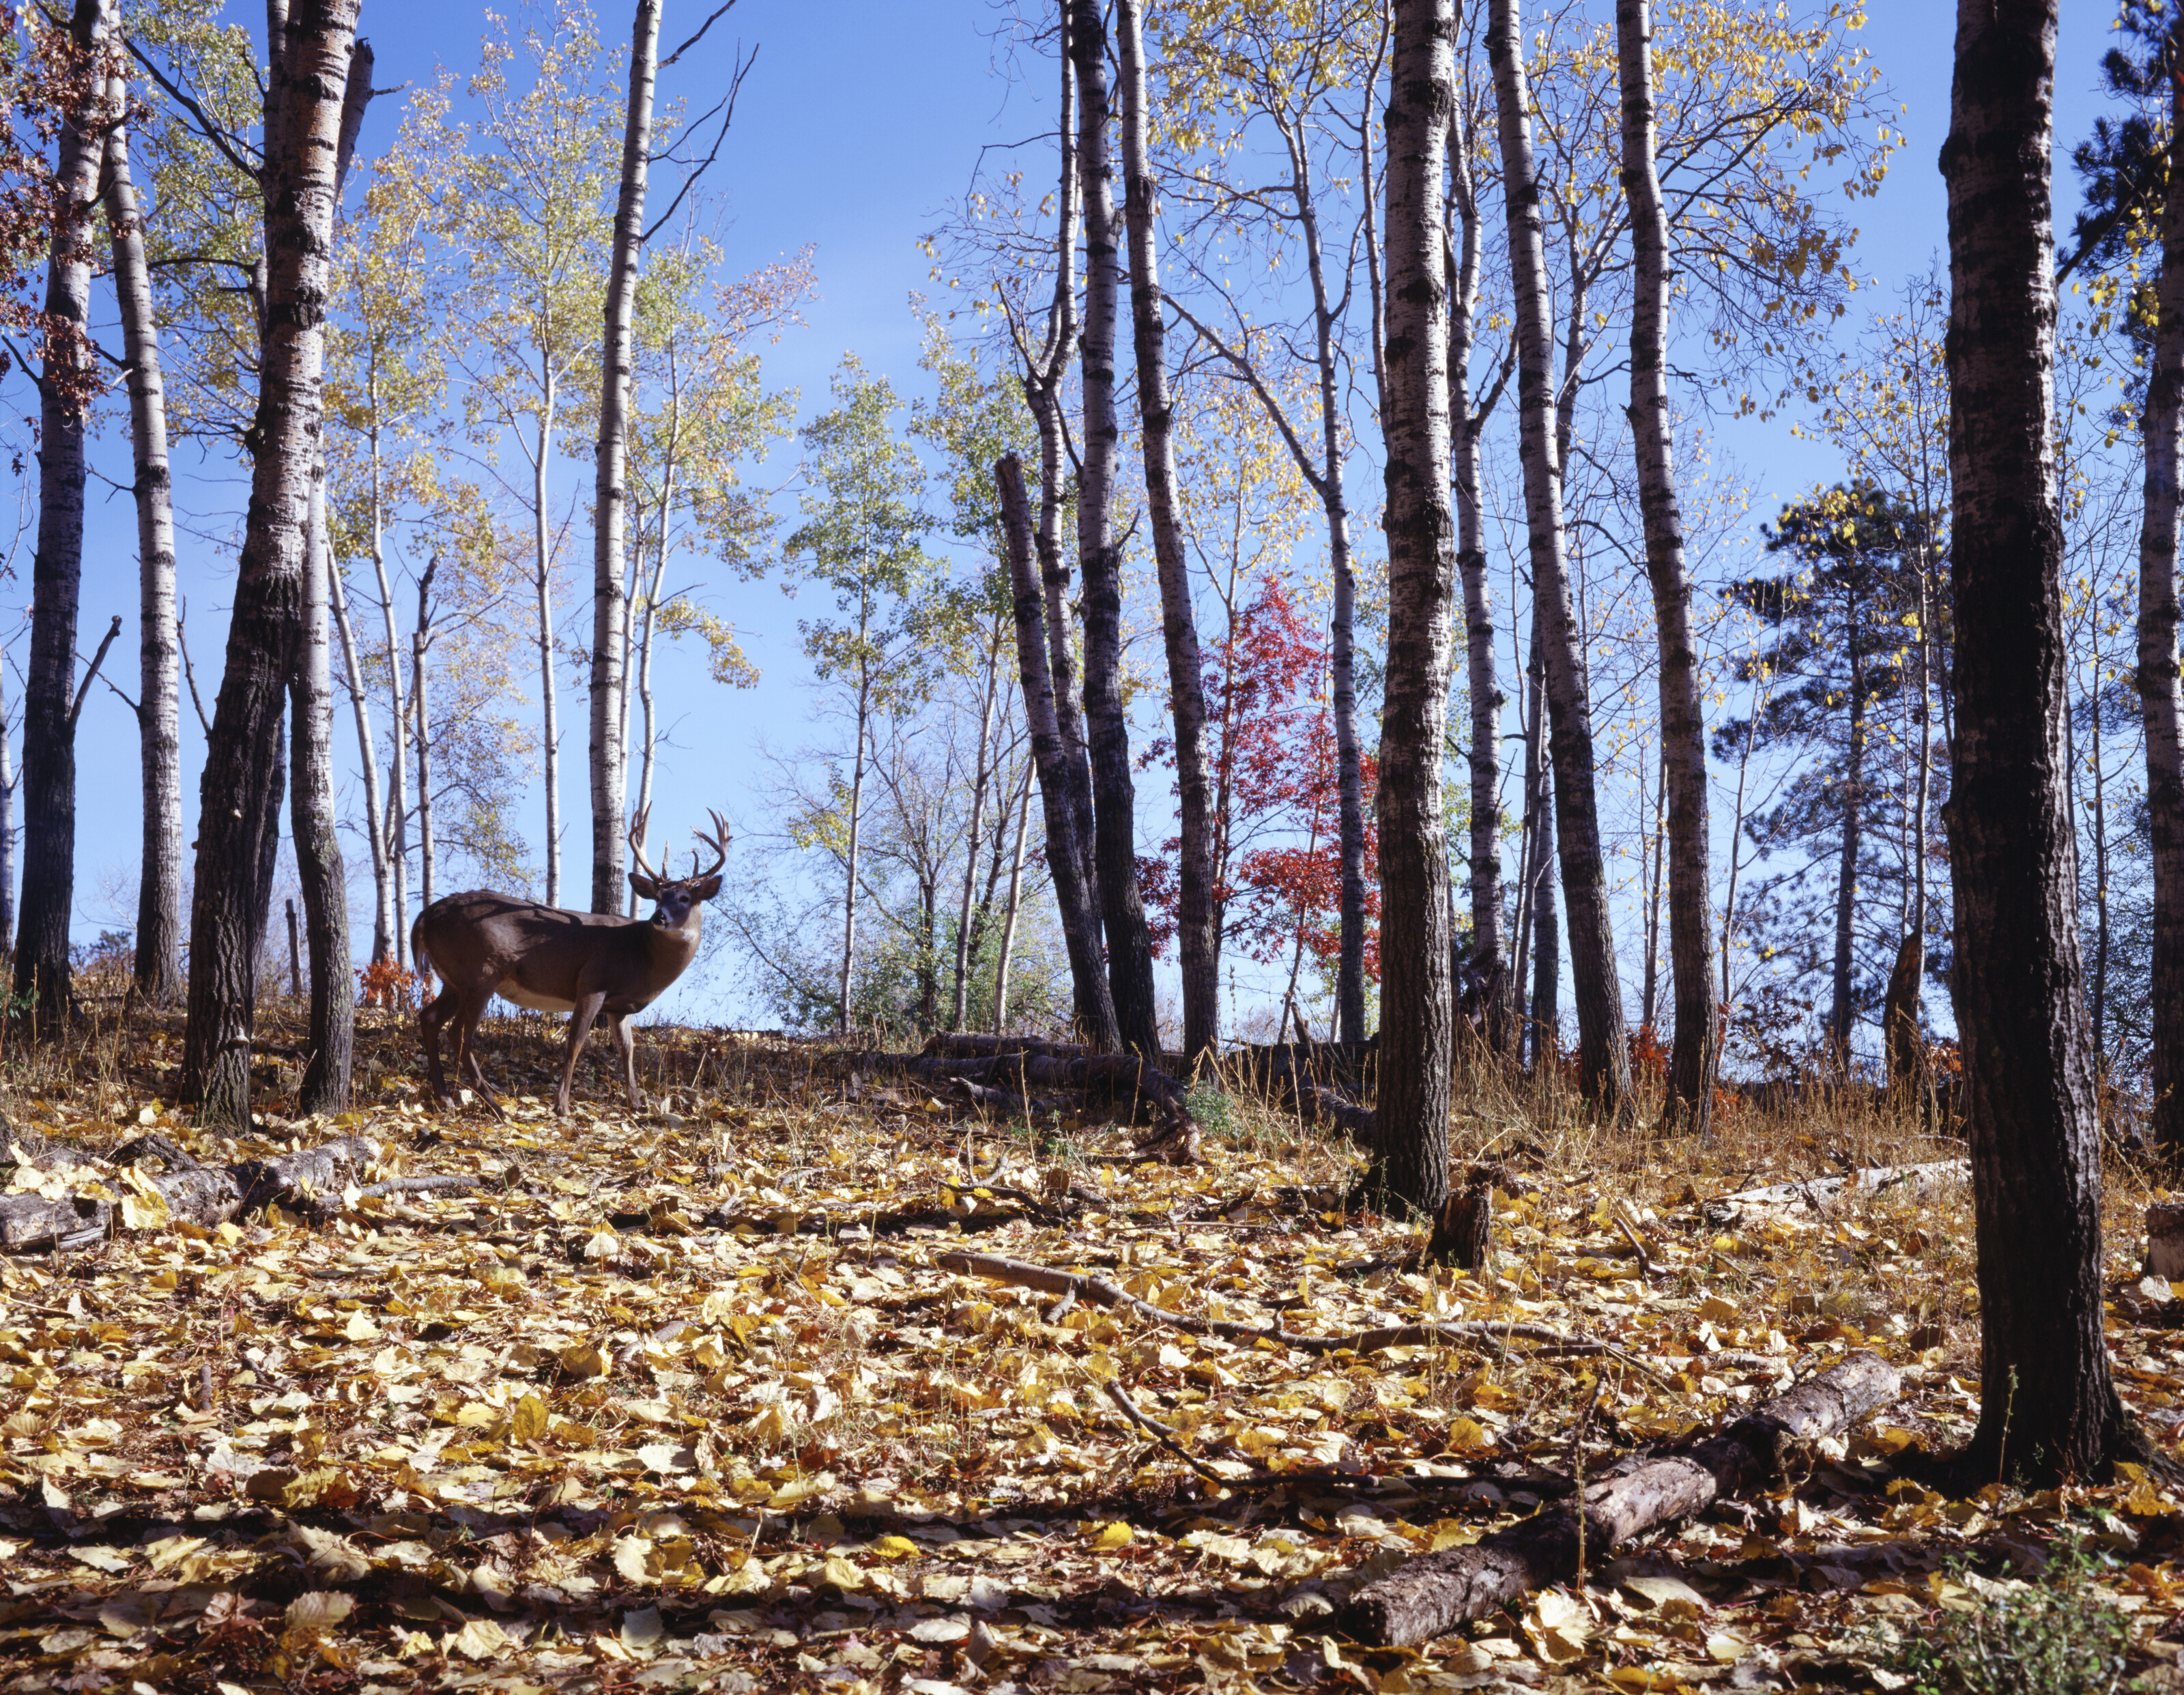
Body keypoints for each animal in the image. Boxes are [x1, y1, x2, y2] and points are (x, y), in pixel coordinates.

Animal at [413, 811, 729, 1116]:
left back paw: (446, 1099)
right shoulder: (592, 982)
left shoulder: (619, 1006)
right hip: (481, 972)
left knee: (429, 1018)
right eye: (658, 897)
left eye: (685, 897)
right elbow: (575, 1042)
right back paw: (497, 1108)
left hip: (454, 980)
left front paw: (637, 1105)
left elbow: (627, 1049)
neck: (641, 954)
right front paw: (562, 1106)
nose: (659, 917)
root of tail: (425, 916)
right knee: (459, 1034)